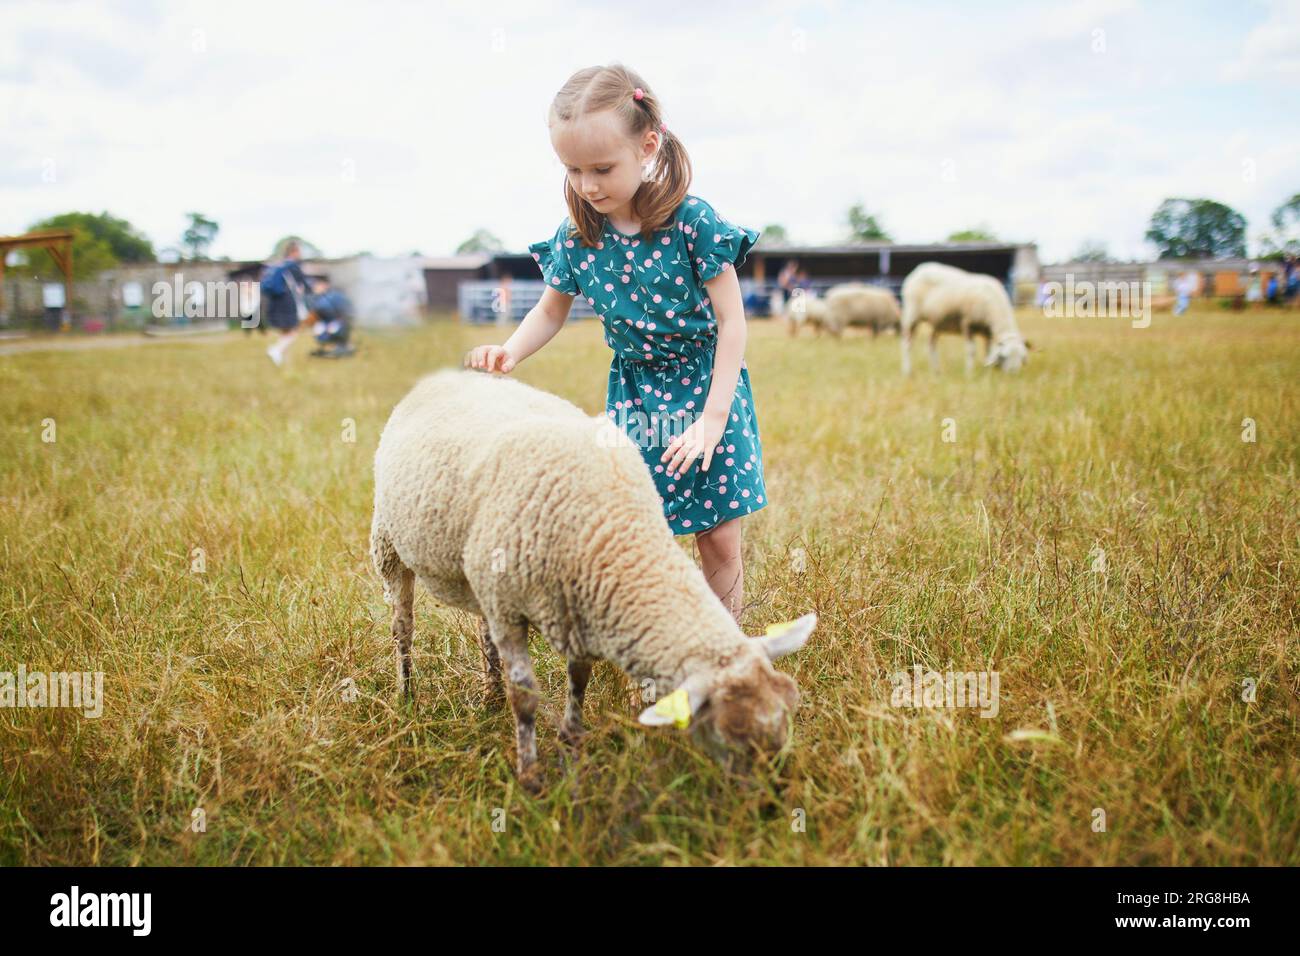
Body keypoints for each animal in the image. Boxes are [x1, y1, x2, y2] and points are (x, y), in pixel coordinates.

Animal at [369, 368, 818, 788]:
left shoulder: (577, 612)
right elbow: (526, 698)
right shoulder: (513, 611)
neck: (609, 530)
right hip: (389, 544)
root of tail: (448, 375)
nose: (773, 799)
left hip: (480, 575)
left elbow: (579, 685)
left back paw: (490, 696)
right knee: (403, 627)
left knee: (481, 630)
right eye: (731, 733)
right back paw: (407, 695)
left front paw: (571, 752)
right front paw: (531, 779)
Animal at [900, 262, 1028, 374]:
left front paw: (987, 372)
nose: (1012, 374)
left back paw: (936, 371)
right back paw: (907, 371)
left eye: (1021, 357)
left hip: (936, 323)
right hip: (912, 314)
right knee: (907, 345)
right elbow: (971, 350)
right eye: (1004, 356)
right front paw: (969, 373)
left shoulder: (987, 332)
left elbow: (988, 352)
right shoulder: (967, 324)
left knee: (931, 345)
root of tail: (918, 269)